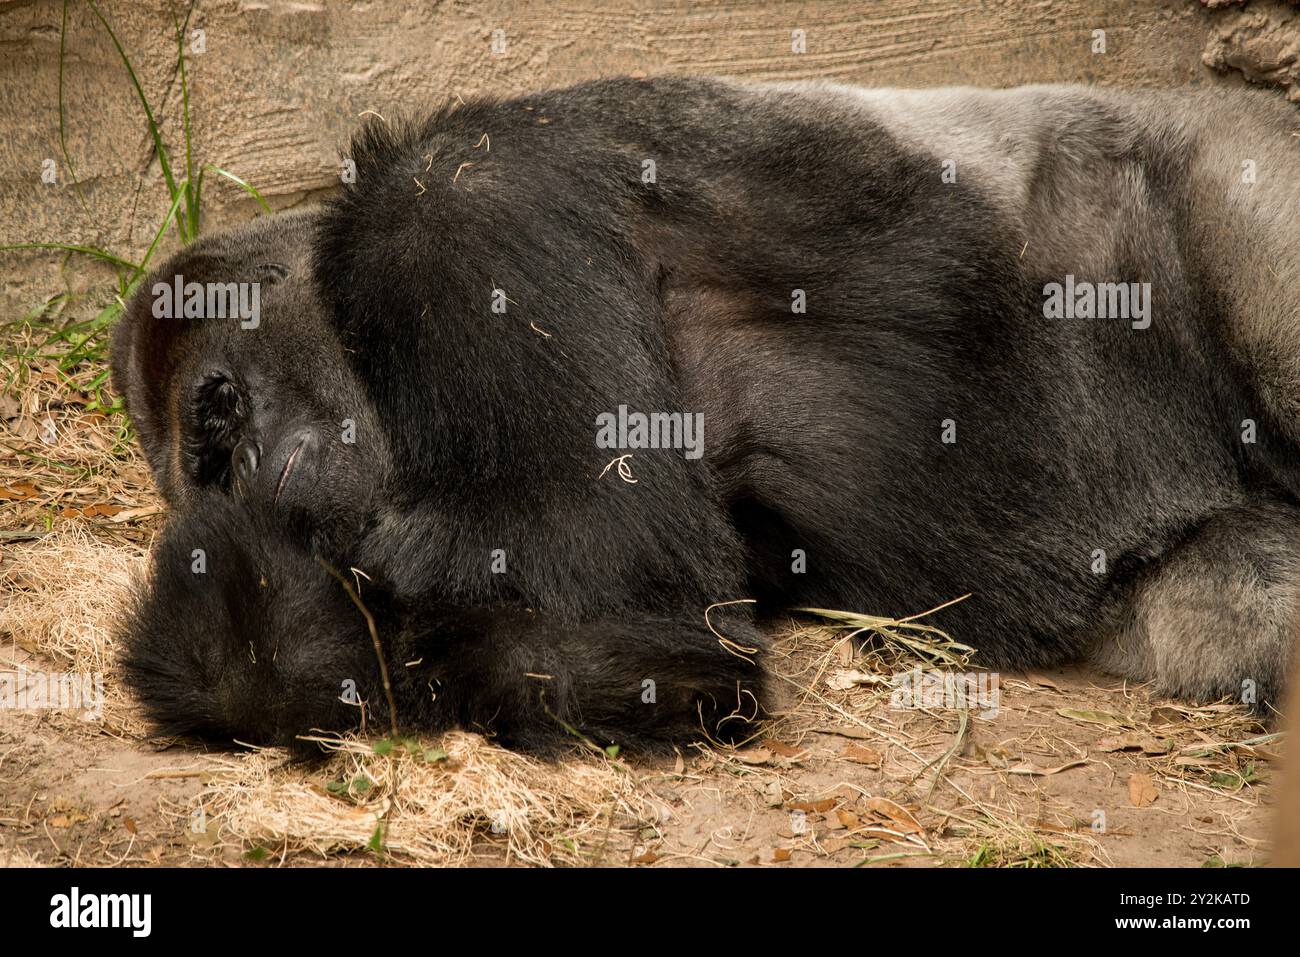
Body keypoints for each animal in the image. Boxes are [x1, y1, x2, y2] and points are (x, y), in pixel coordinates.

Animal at [113, 77, 1300, 753]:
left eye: (220, 412)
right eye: (211, 460)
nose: (258, 472)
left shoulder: (457, 204)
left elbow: (592, 543)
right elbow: (636, 654)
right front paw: (250, 622)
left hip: (1222, 163)